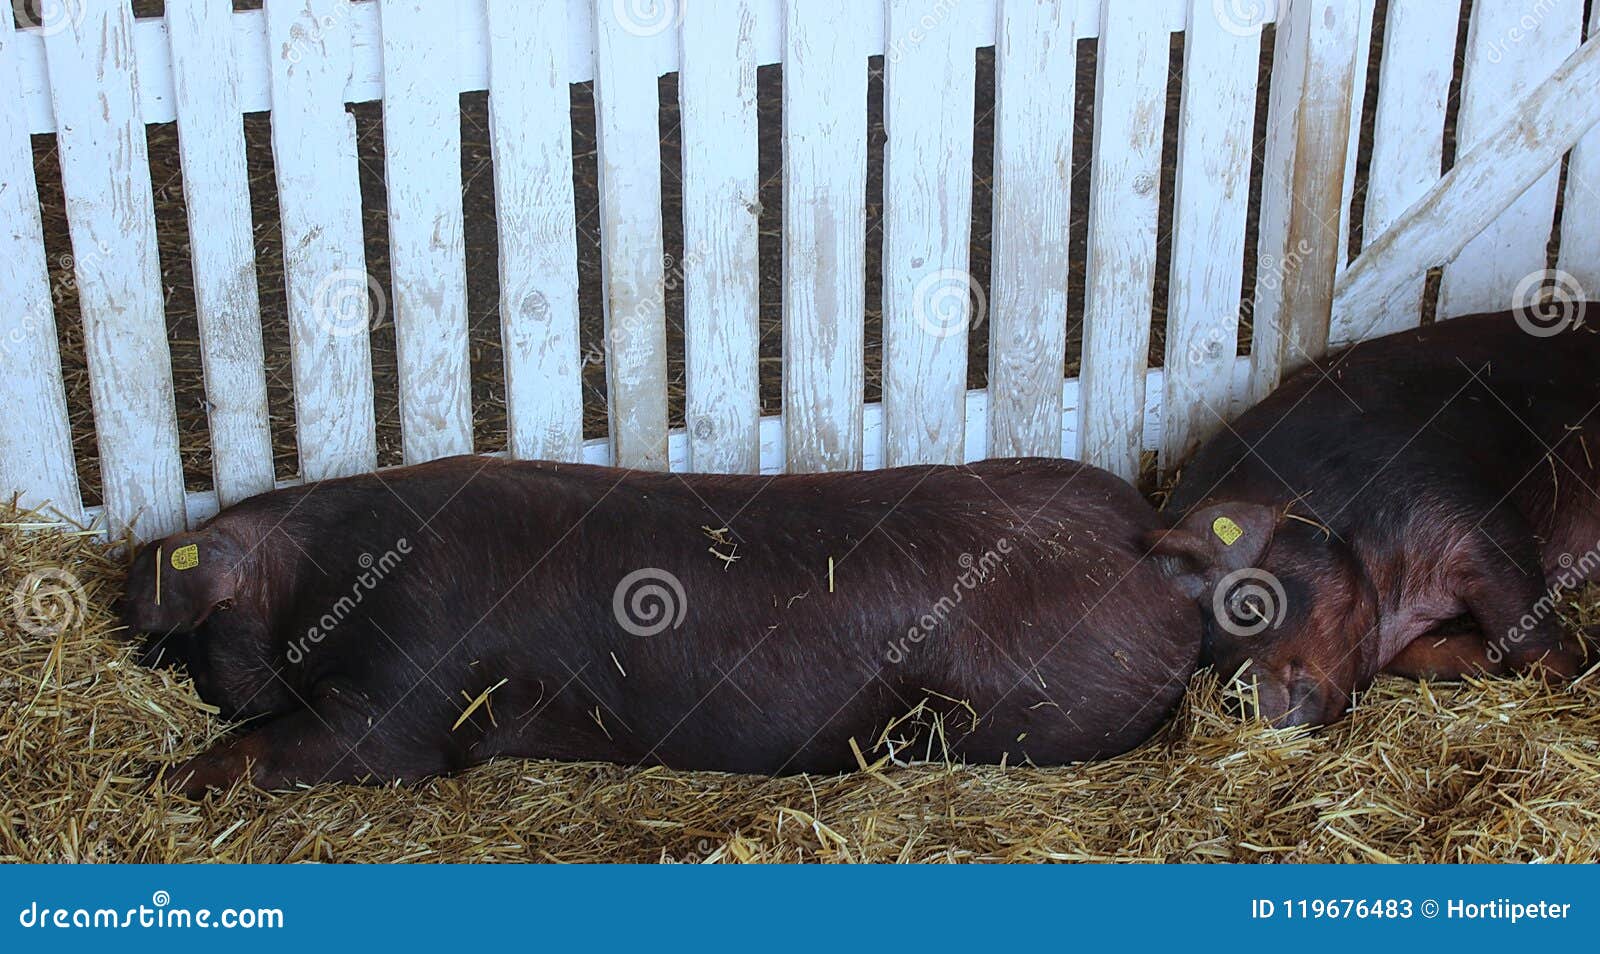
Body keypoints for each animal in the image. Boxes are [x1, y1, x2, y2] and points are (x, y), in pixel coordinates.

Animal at [120, 456, 1201, 796]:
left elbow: (310, 746)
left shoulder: (405, 695)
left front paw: (162, 780)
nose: (128, 610)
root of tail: (1144, 533)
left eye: (194, 637)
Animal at [1153, 310, 1600, 726]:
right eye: (1206, 655)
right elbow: (1435, 658)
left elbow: (1528, 640)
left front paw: (1581, 656)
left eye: (1245, 604)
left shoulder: (1470, 514)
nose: (1248, 706)